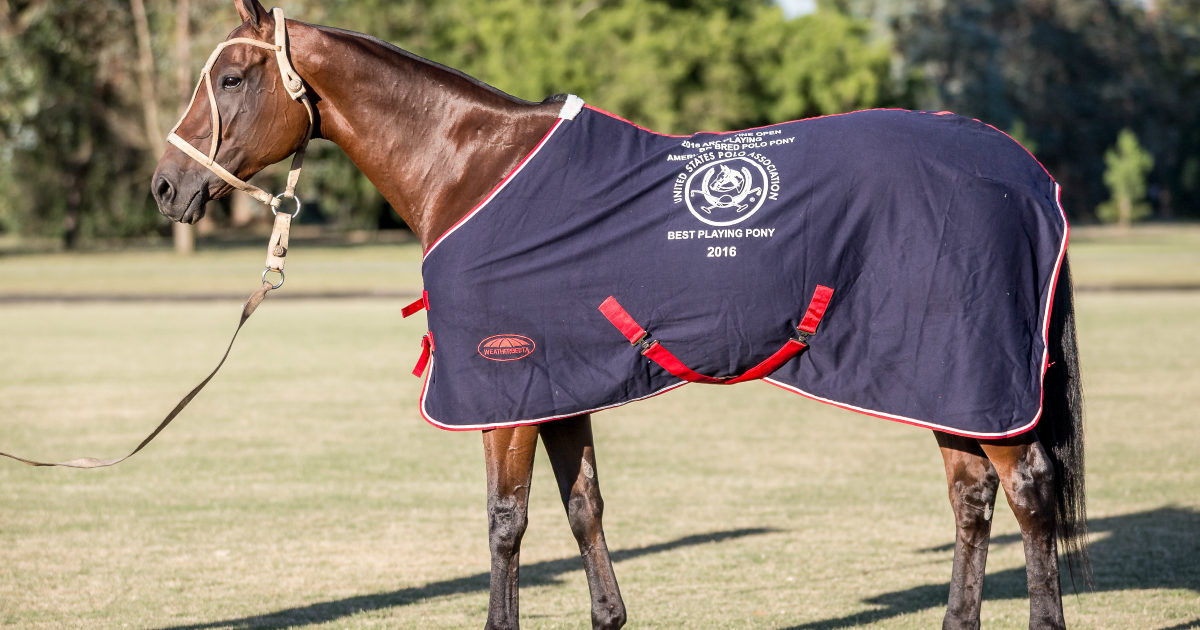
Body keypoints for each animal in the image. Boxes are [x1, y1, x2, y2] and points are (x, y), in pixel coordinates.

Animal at [151, 2, 1089, 628]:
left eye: (230, 78)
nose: (166, 185)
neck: (475, 167)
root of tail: (1021, 170)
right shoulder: (559, 385)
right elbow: (584, 508)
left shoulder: (506, 391)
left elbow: (506, 523)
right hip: (945, 379)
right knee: (971, 498)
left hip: (975, 372)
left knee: (1028, 493)